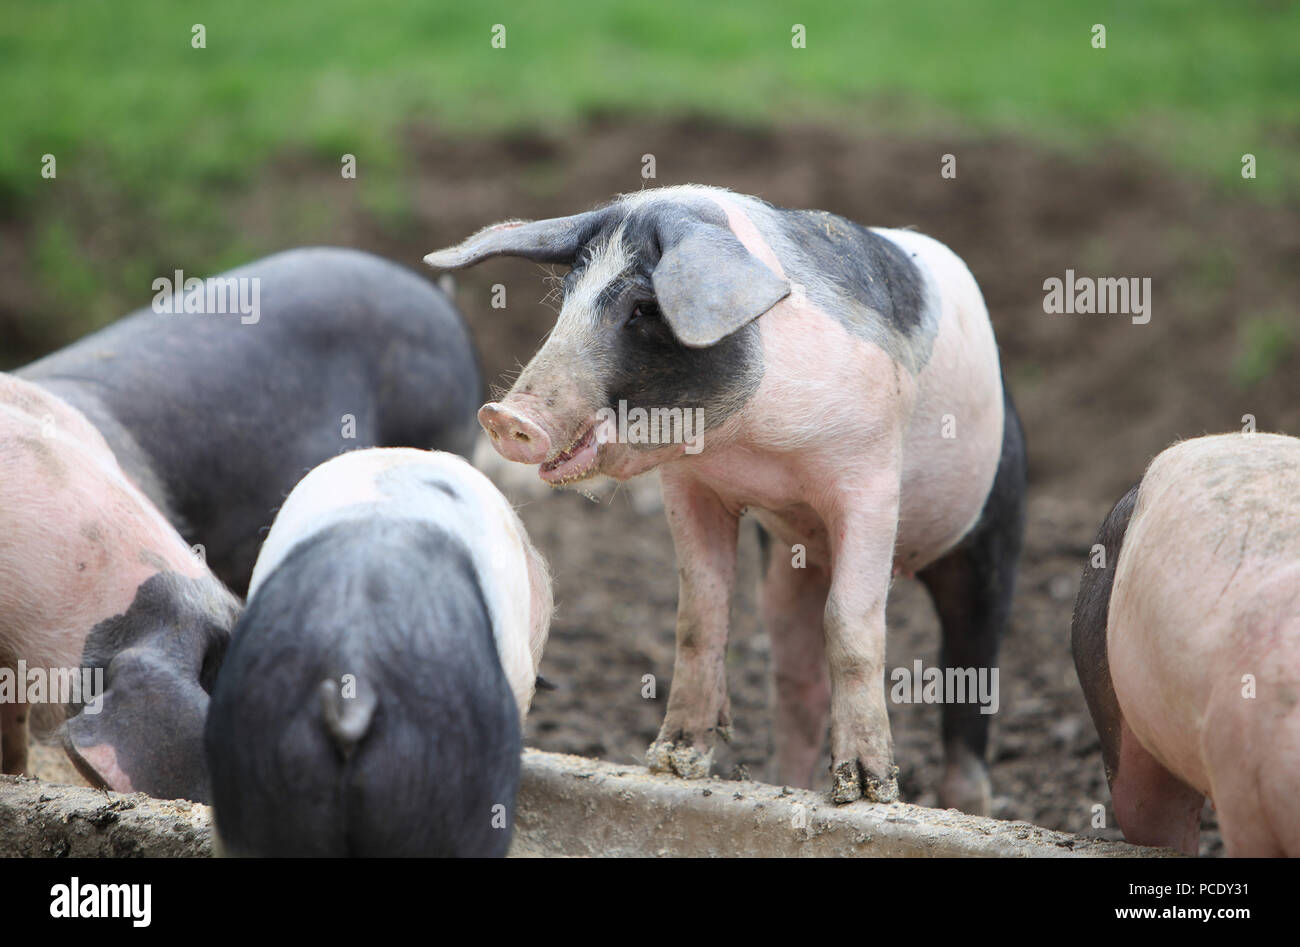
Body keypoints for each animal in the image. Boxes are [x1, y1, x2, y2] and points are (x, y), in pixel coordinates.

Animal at [425, 185, 1026, 813]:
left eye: (645, 307)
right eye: (568, 296)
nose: (503, 416)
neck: (756, 447)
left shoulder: (871, 479)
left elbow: (851, 624)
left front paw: (869, 792)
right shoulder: (691, 488)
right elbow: (698, 613)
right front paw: (672, 763)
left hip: (992, 529)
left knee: (971, 672)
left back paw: (959, 805)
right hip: (789, 564)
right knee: (796, 682)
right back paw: (792, 787)